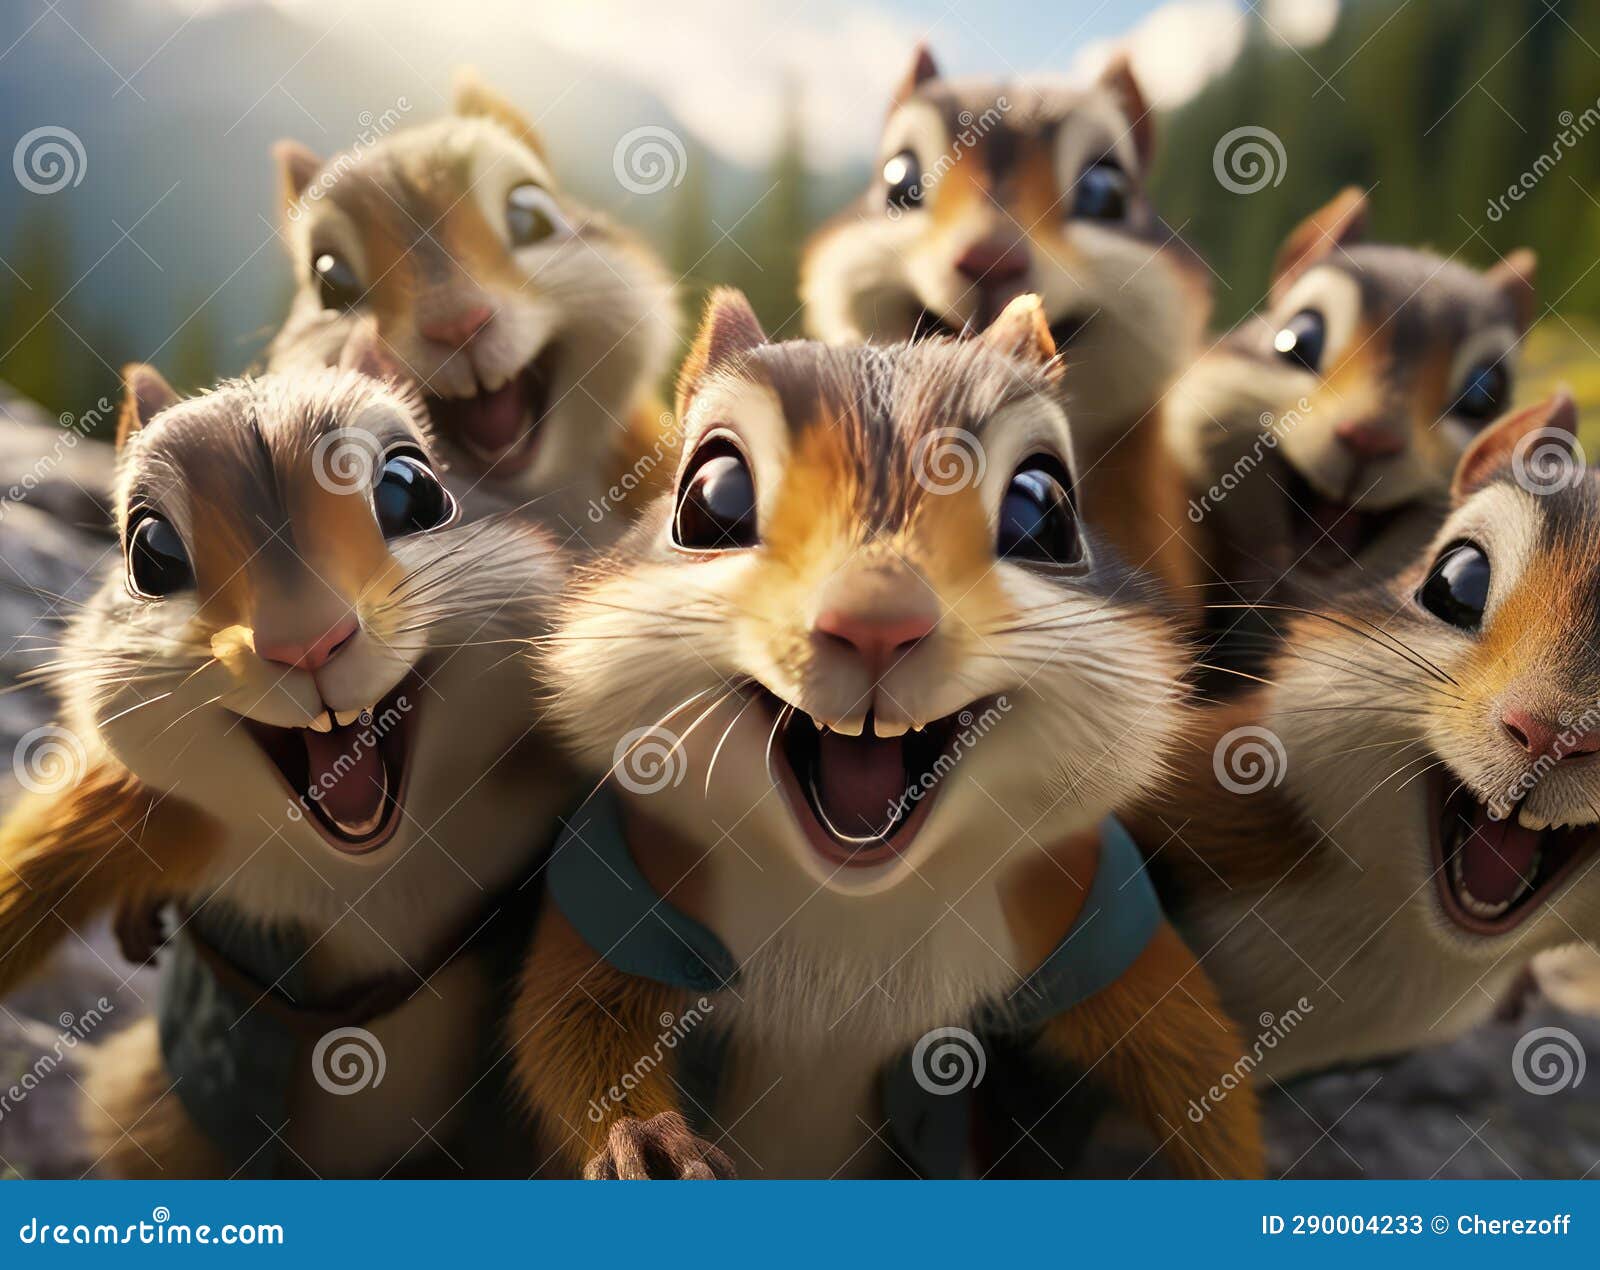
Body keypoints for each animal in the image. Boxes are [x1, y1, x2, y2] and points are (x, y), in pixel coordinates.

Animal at [508, 288, 1263, 1180]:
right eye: (713, 499)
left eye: (1040, 510)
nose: (877, 619)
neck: (852, 906)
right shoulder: (618, 898)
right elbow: (574, 1024)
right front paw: (646, 1142)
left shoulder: (1090, 917)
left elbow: (1191, 1055)